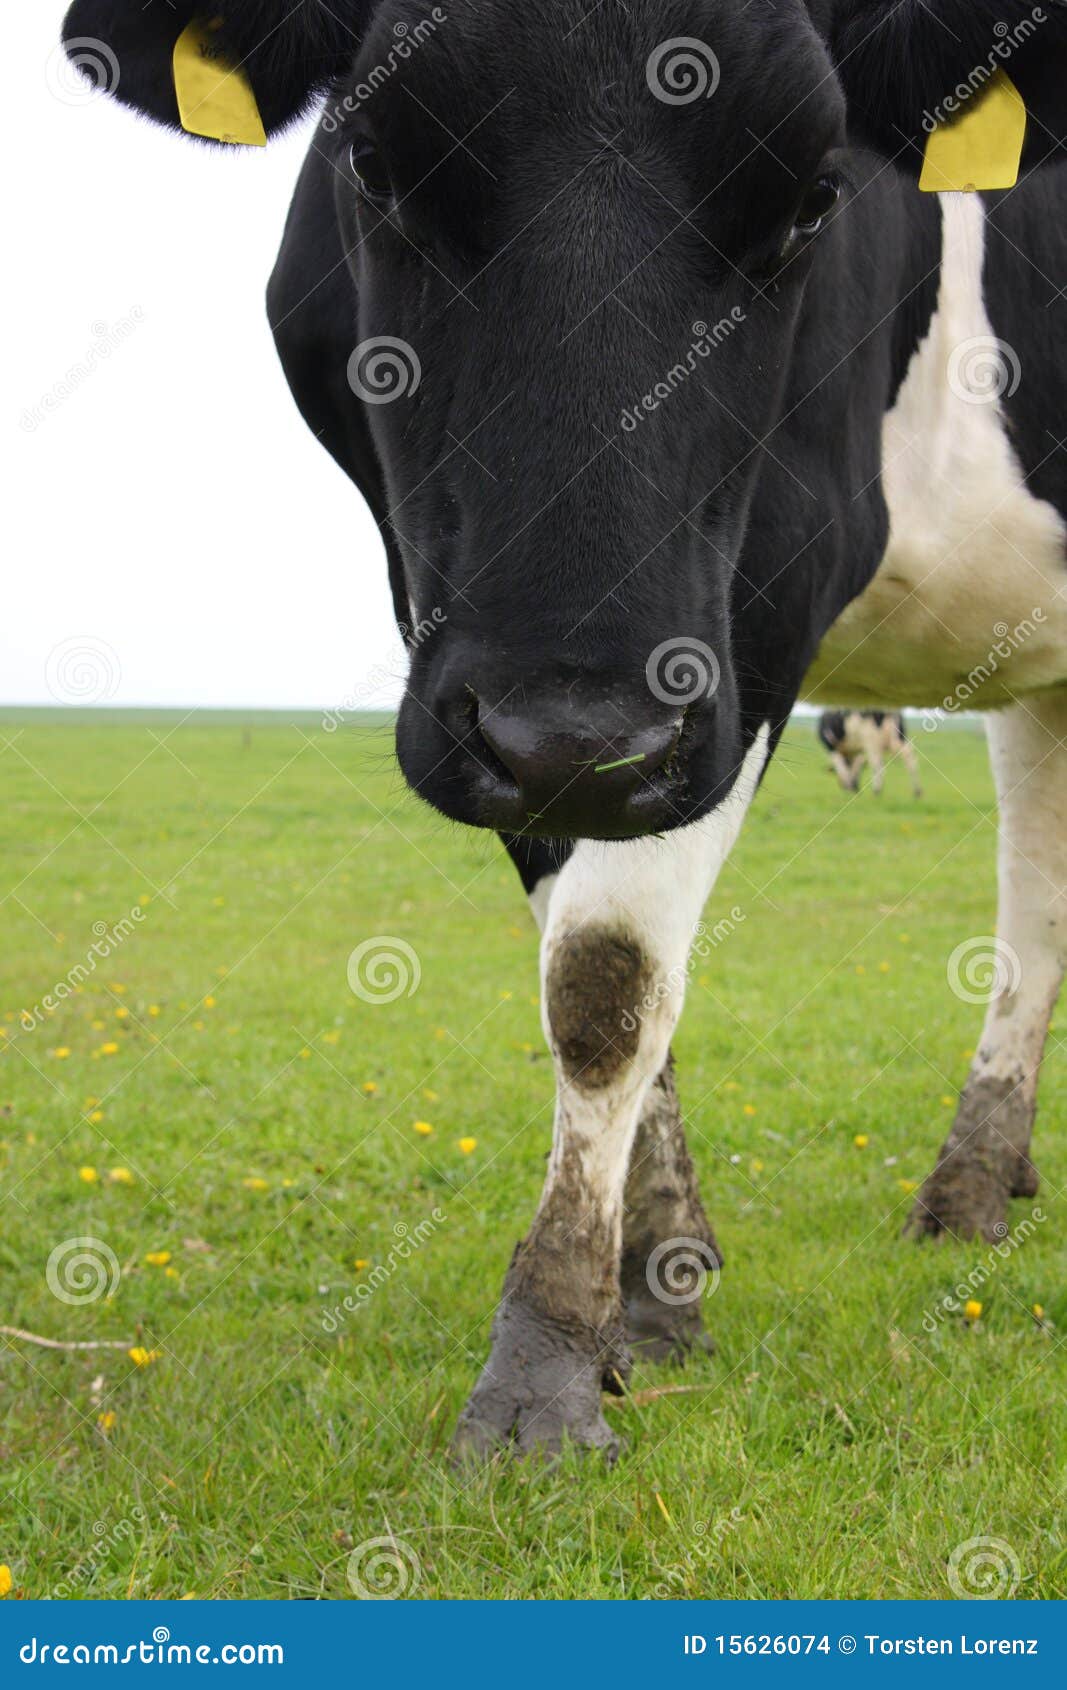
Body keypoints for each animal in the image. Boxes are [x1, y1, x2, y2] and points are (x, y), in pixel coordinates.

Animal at [60, 0, 1067, 1463]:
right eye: (373, 160)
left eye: (813, 196)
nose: (580, 723)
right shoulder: (465, 653)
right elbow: (584, 958)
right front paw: (652, 1287)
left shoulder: (754, 599)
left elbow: (605, 980)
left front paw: (537, 1371)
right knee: (1035, 893)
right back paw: (979, 1177)